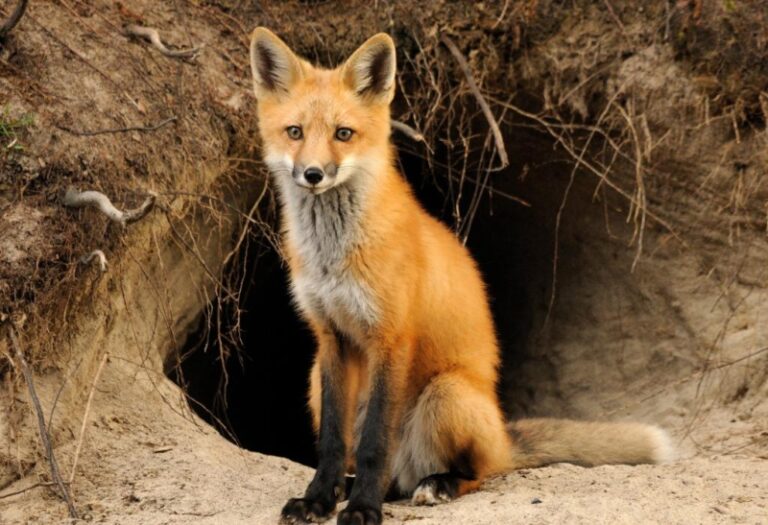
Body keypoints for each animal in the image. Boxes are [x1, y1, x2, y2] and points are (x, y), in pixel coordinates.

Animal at [248, 27, 673, 525]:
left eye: (343, 134)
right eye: (294, 132)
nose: (313, 174)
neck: (334, 257)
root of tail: (502, 435)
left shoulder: (392, 337)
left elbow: (373, 444)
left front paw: (363, 509)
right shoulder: (331, 337)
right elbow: (333, 442)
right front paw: (318, 499)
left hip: (446, 394)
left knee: (476, 472)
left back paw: (437, 484)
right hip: (316, 377)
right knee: (394, 475)